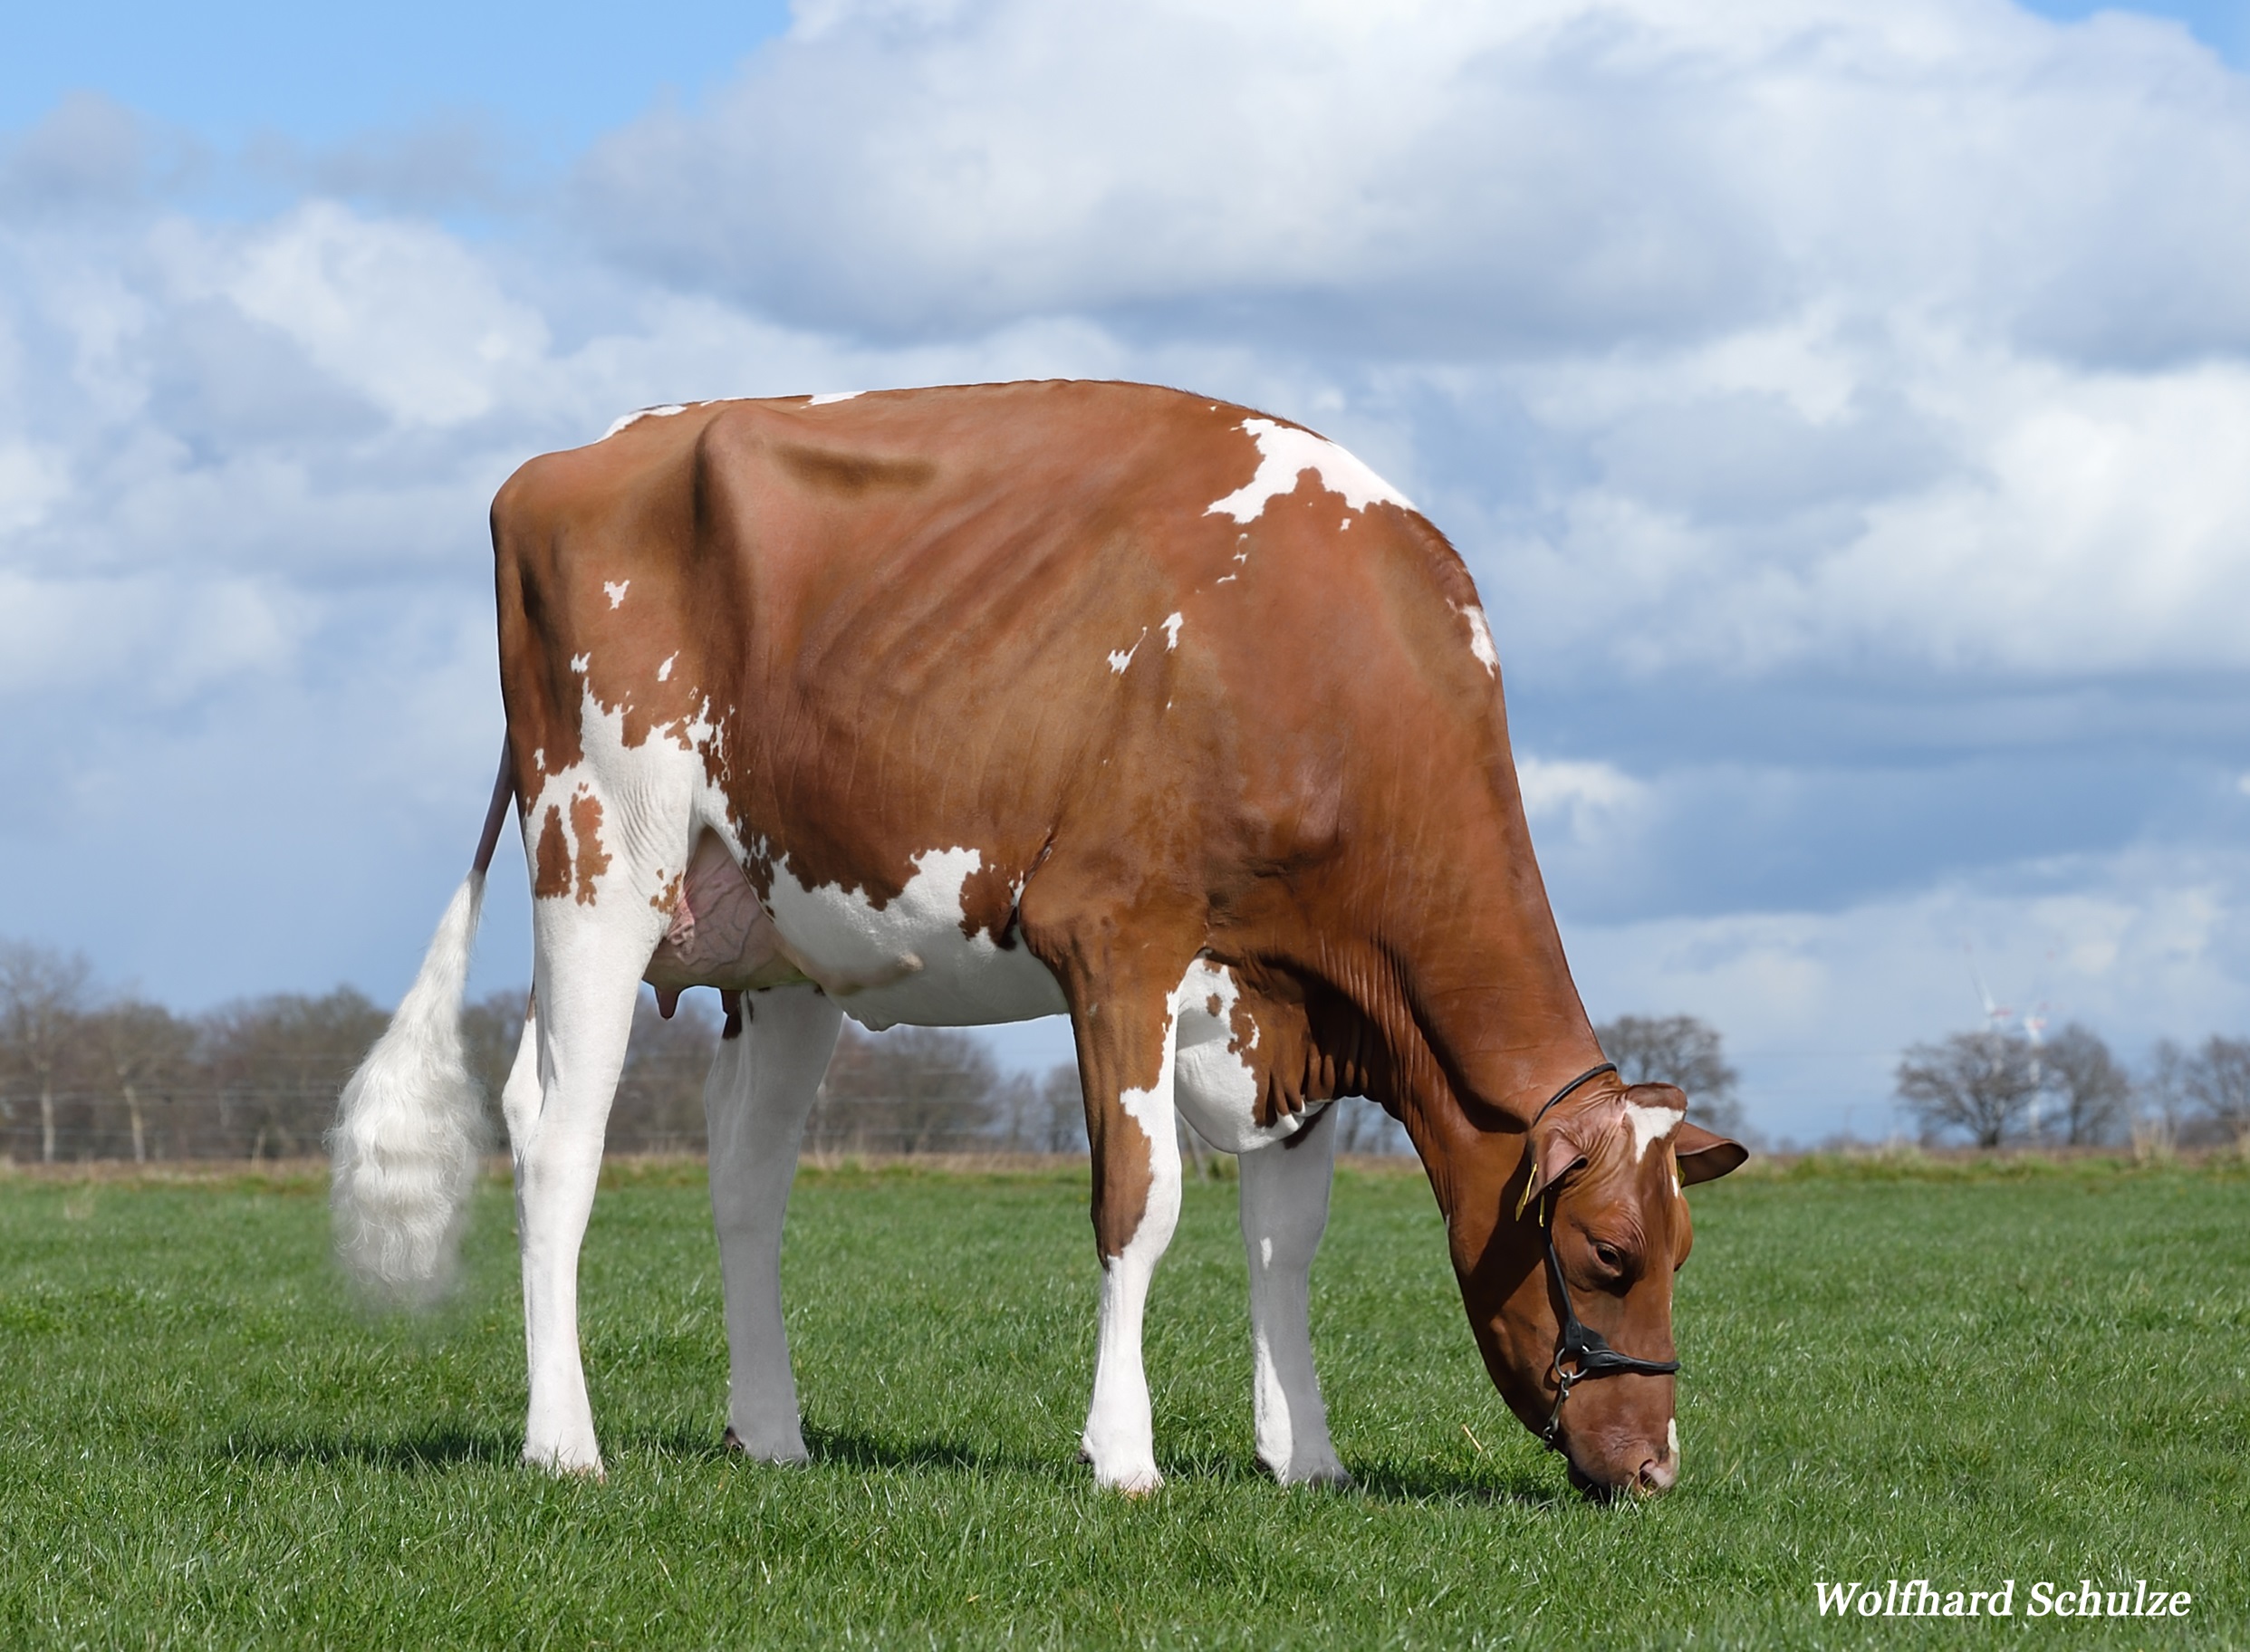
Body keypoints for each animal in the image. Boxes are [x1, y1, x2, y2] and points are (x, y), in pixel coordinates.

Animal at [331, 380, 1745, 1499]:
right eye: (1607, 1253)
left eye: (1682, 1252)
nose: (1656, 1468)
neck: (1321, 671)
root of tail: (581, 455)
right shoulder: (1118, 940)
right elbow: (1141, 1204)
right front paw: (1124, 1454)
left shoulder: (1290, 1010)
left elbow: (1286, 1240)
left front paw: (1306, 1456)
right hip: (600, 856)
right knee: (557, 1132)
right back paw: (563, 1444)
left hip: (781, 944)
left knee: (748, 1173)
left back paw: (771, 1433)